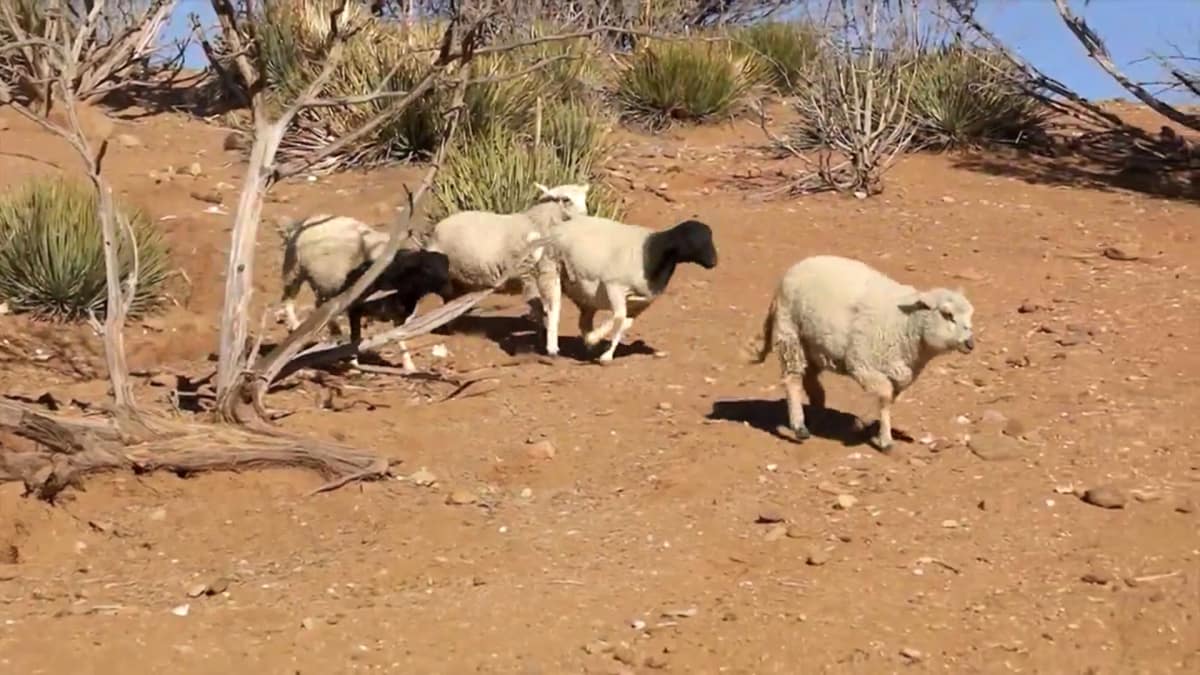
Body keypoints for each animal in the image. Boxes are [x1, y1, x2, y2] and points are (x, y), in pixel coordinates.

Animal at [530, 215, 719, 362]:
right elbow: (619, 317)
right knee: (554, 310)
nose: (713, 262)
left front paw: (602, 348)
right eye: (693, 239)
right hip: (551, 270)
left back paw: (588, 345)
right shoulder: (614, 286)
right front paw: (600, 347)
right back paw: (553, 348)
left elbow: (624, 323)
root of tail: (557, 227)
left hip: (585, 294)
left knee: (583, 320)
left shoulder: (640, 304)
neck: (651, 255)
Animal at [749, 254, 975, 450]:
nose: (970, 343)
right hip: (790, 334)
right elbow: (884, 395)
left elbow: (887, 399)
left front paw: (863, 423)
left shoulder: (898, 374)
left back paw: (819, 416)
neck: (906, 325)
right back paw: (799, 425)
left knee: (811, 382)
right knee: (793, 380)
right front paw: (884, 440)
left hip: (813, 346)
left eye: (970, 315)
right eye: (947, 315)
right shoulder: (862, 364)